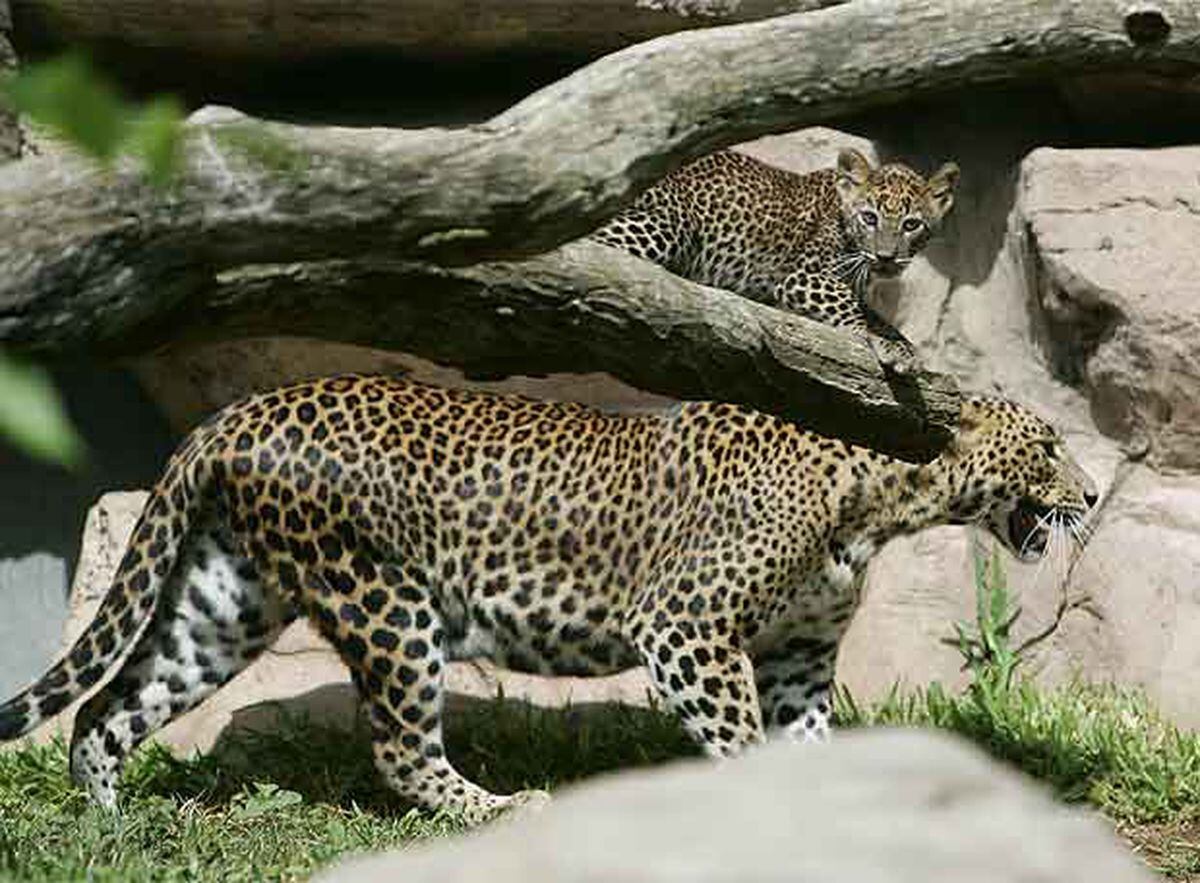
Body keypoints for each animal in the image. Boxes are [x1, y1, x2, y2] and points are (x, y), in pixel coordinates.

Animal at [0, 374, 1095, 824]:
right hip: (388, 601)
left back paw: (112, 828)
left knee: (107, 708)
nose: (1090, 496)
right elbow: (742, 743)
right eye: (1047, 444)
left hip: (225, 602)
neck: (881, 496)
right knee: (400, 747)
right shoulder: (686, 630)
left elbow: (809, 743)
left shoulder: (797, 653)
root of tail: (240, 411)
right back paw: (495, 809)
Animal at [592, 148, 960, 373]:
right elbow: (850, 306)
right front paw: (876, 340)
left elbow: (880, 318)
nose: (886, 257)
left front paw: (904, 348)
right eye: (869, 218)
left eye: (911, 225)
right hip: (670, 226)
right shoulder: (802, 277)